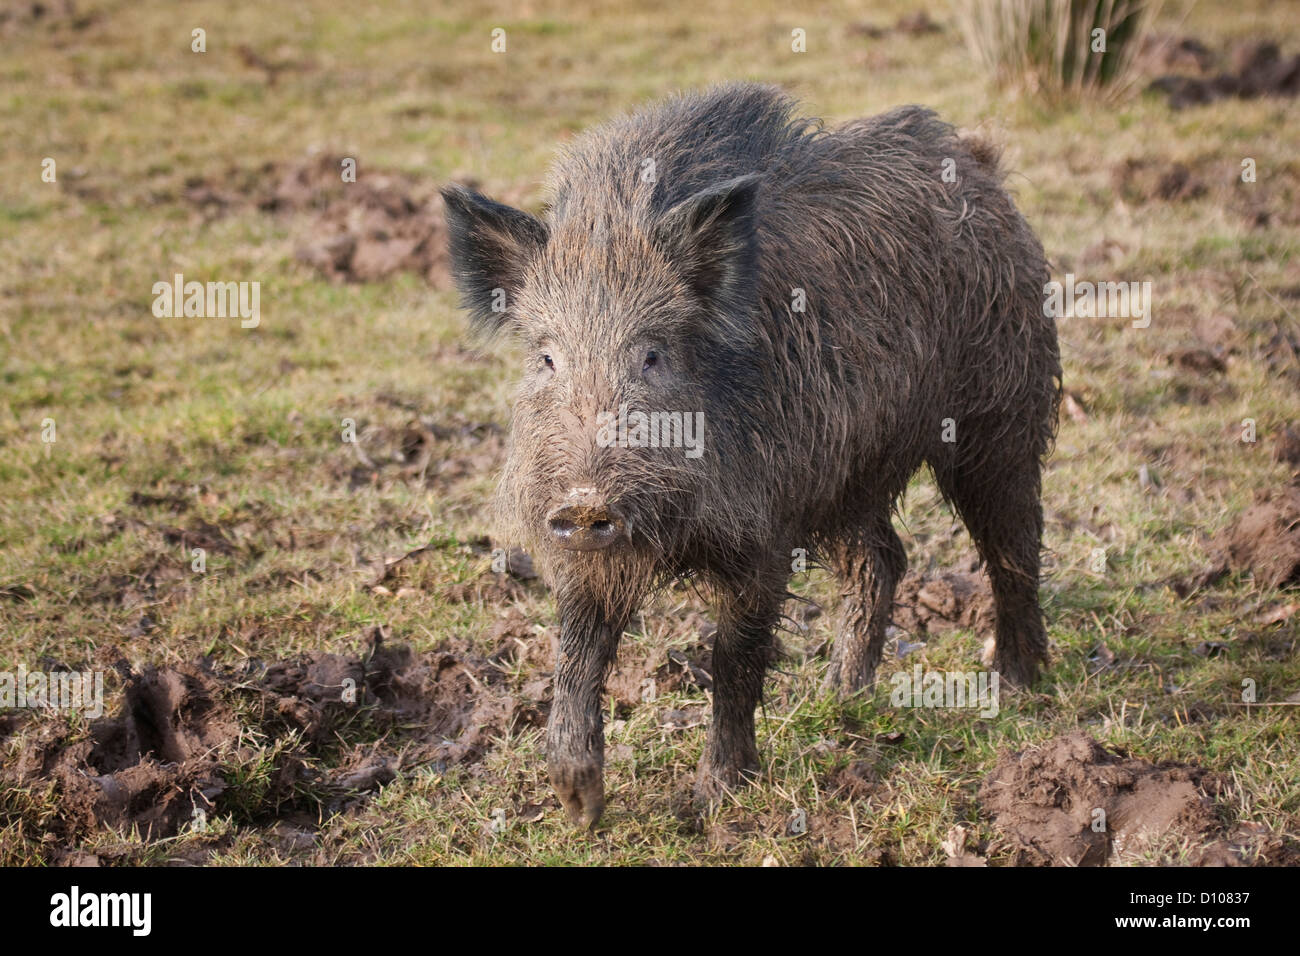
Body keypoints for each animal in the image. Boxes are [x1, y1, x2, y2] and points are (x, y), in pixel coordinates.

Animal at [441, 83, 1061, 829]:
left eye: (654, 355)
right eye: (546, 358)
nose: (586, 502)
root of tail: (977, 161)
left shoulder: (764, 532)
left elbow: (732, 657)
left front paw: (714, 798)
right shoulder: (586, 548)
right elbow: (579, 646)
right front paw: (578, 806)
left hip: (1001, 416)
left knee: (1012, 545)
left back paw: (1020, 690)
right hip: (848, 475)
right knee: (884, 557)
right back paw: (840, 696)